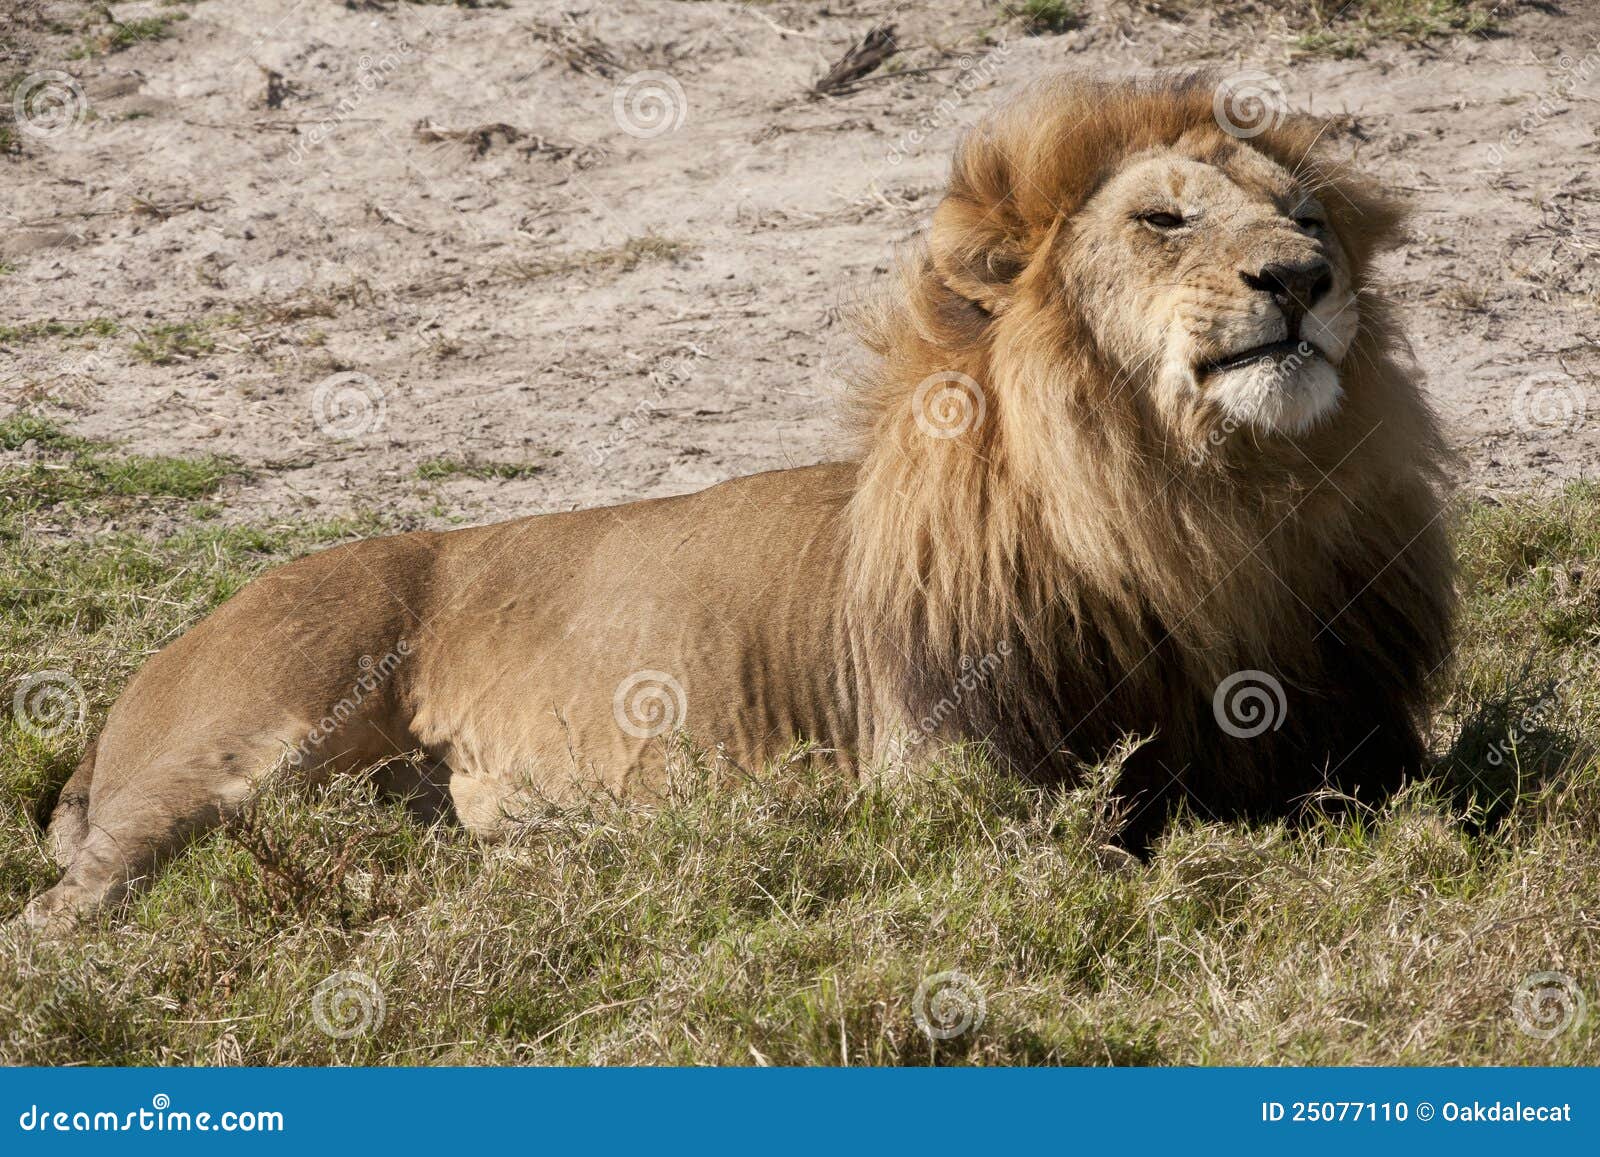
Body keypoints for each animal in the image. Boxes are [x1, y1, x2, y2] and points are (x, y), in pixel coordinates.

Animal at [22, 73, 1455, 927]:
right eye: (1164, 219)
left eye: (1308, 216)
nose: (1301, 278)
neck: (1198, 500)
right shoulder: (950, 782)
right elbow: (1103, 847)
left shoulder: (1360, 743)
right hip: (247, 728)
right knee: (56, 912)